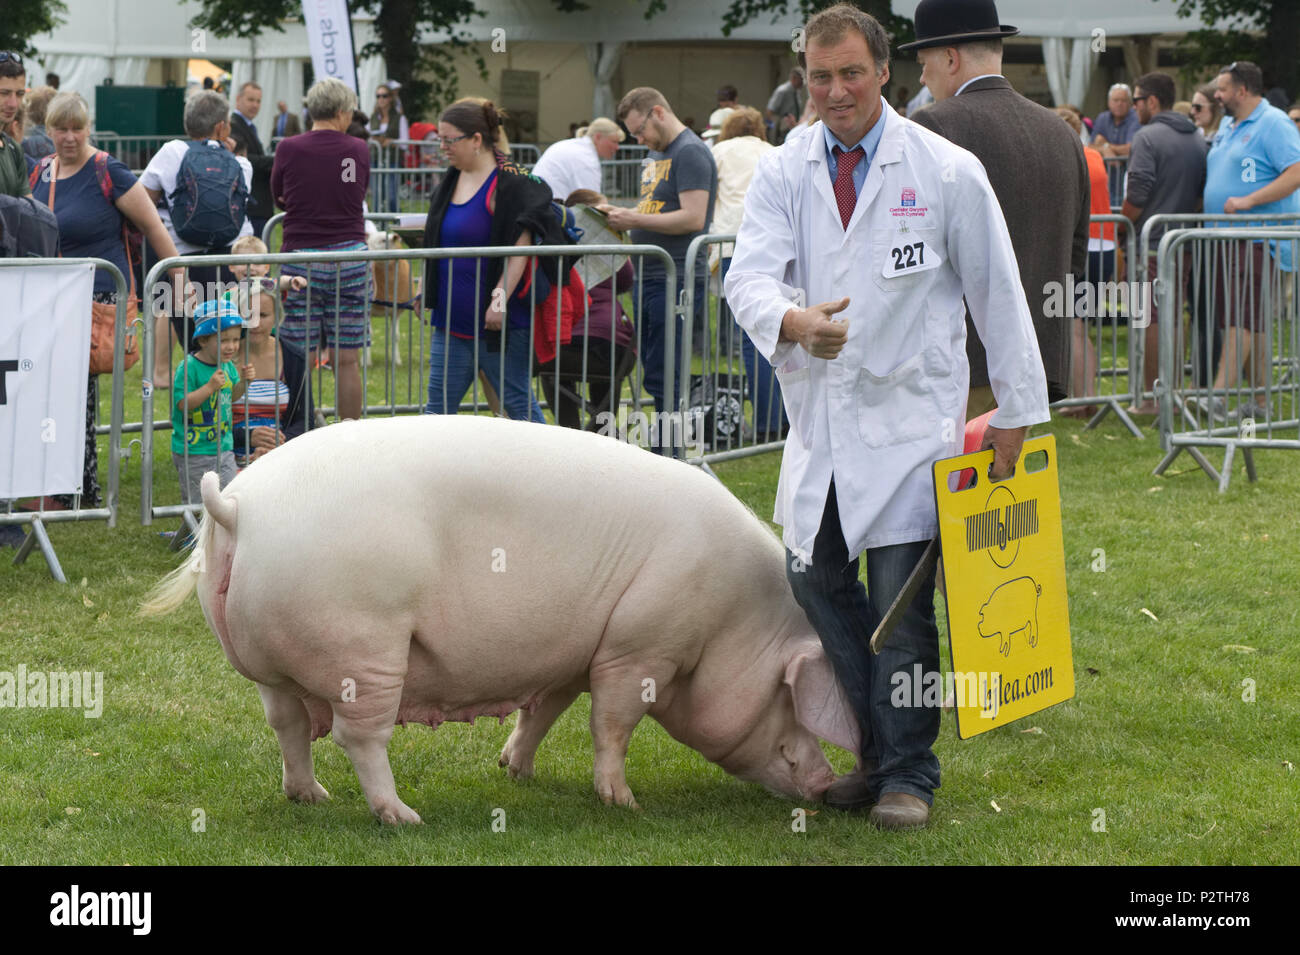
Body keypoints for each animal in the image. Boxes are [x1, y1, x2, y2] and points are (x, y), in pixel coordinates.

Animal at [142, 415, 859, 824]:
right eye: (791, 699)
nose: (828, 782)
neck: (732, 623)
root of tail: (237, 507)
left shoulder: (574, 654)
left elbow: (545, 711)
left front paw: (516, 771)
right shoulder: (641, 645)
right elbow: (614, 723)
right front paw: (623, 803)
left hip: (272, 666)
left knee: (287, 725)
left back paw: (312, 798)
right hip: (364, 646)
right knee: (358, 737)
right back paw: (404, 817)